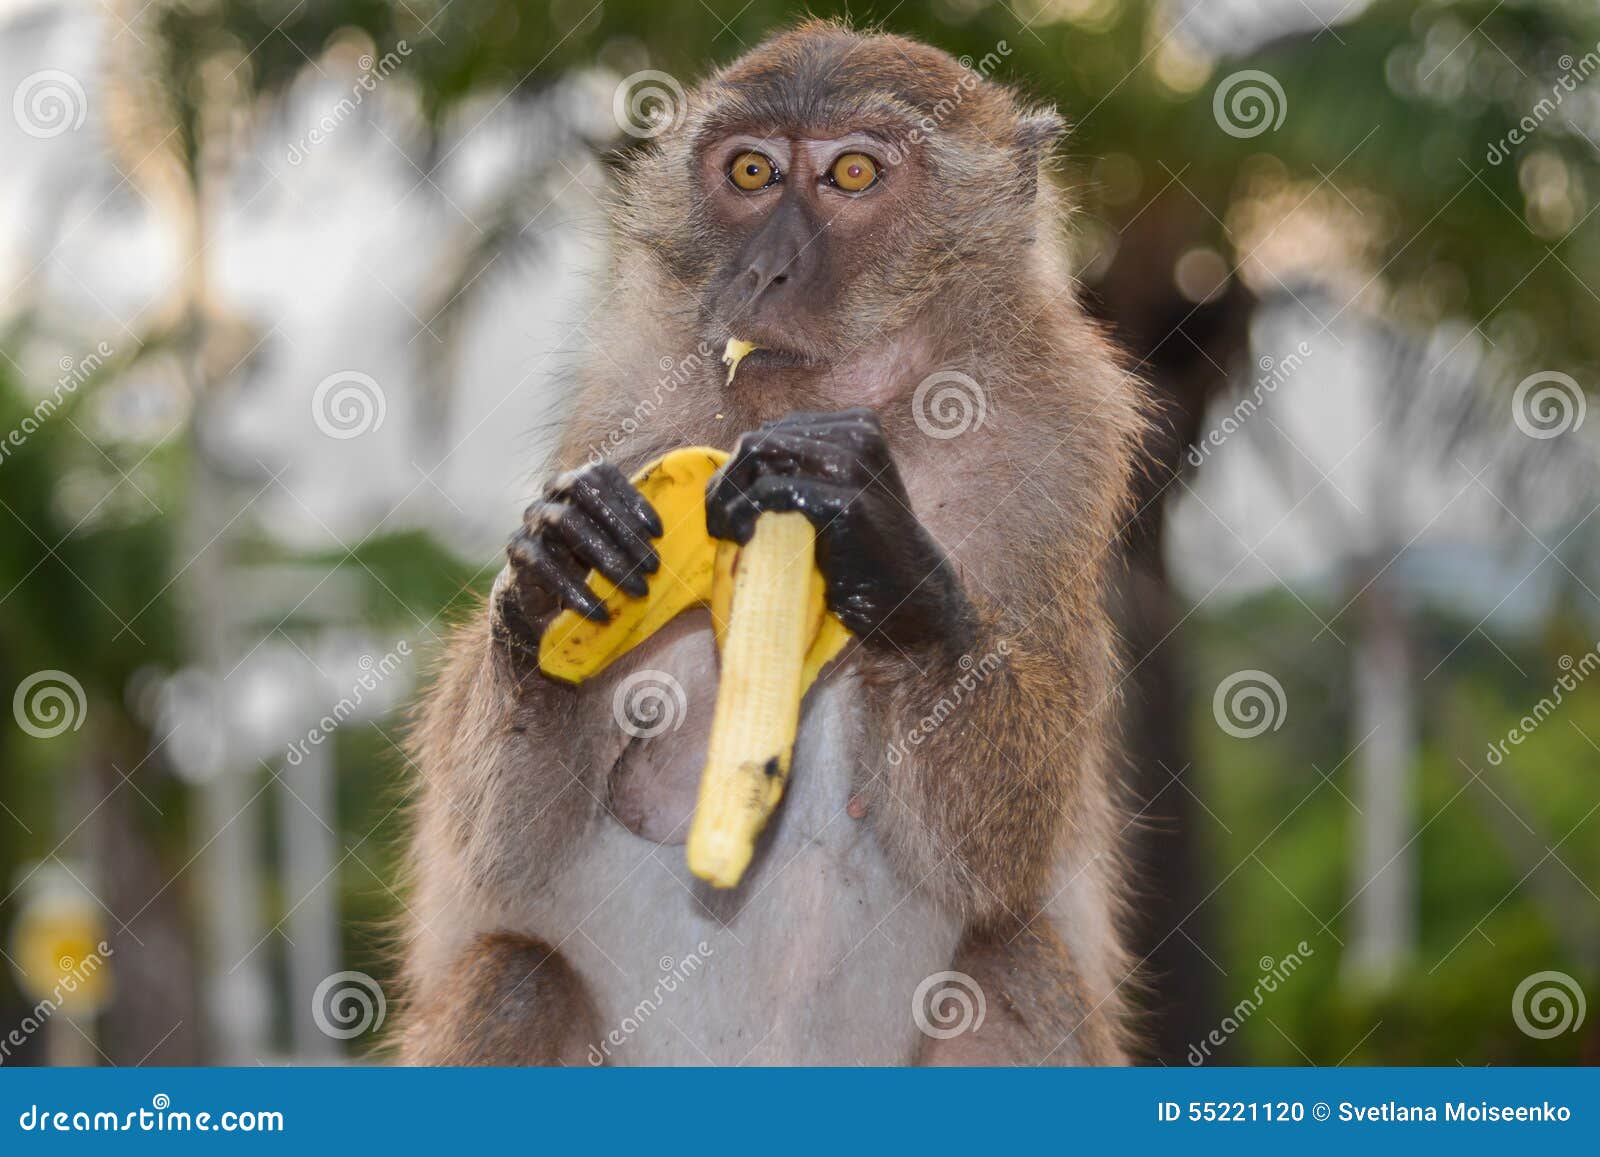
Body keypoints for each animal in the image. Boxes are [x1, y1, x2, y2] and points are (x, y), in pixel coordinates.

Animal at [396, 20, 1147, 1066]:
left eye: (854, 173)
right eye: (750, 170)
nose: (764, 271)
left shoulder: (1064, 443)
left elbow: (1001, 855)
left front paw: (895, 569)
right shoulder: (626, 403)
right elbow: (499, 847)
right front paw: (552, 575)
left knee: (1009, 961)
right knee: (517, 973)